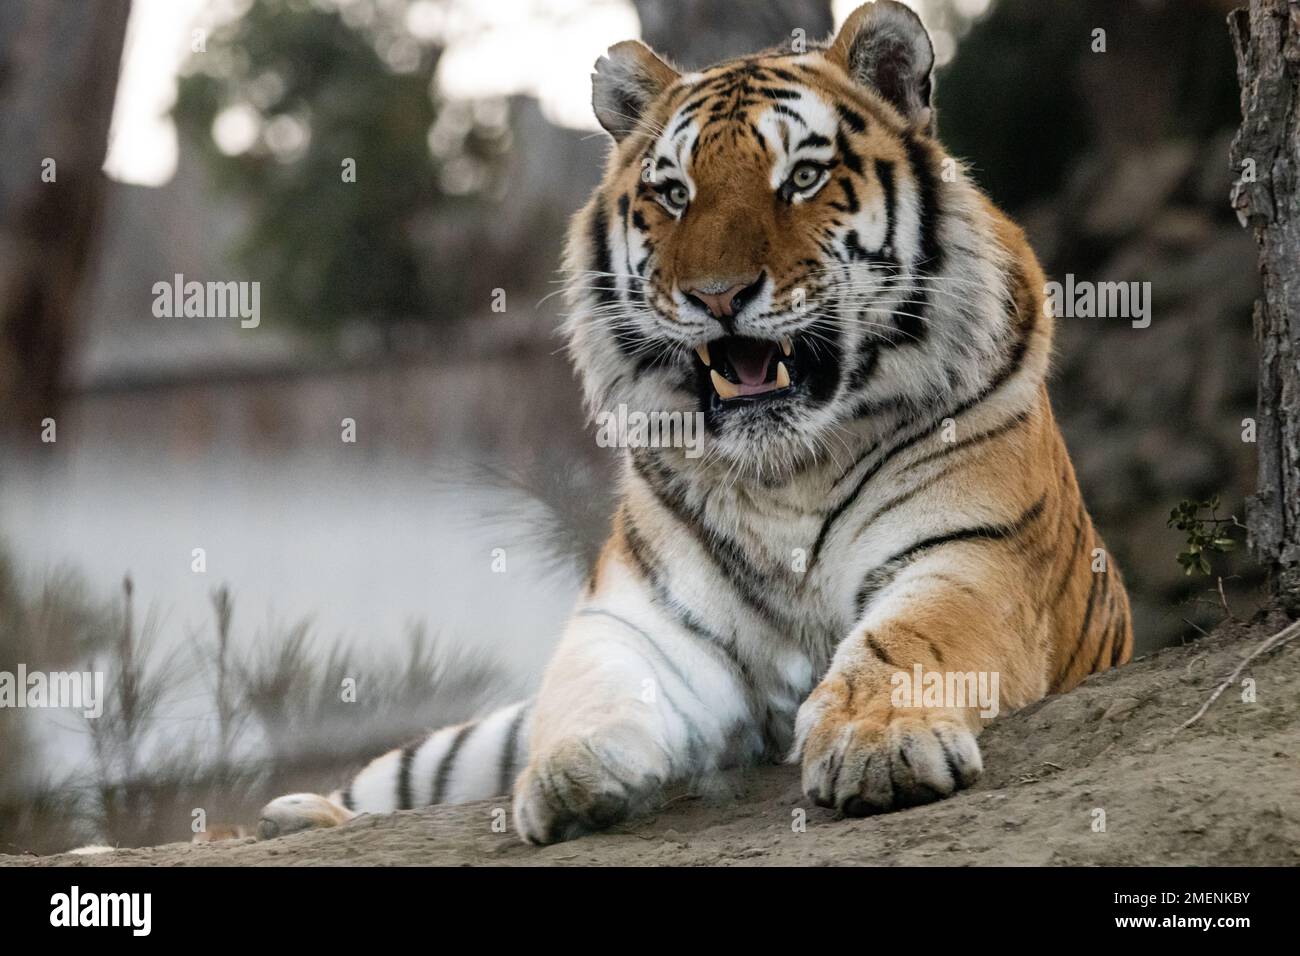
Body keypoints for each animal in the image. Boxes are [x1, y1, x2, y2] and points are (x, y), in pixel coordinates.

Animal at [257, 0, 1132, 847]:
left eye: (803, 178)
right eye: (674, 193)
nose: (716, 295)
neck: (789, 471)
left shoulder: (971, 555)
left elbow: (908, 642)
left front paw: (876, 740)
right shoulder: (639, 616)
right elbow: (593, 687)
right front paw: (572, 772)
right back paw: (294, 816)